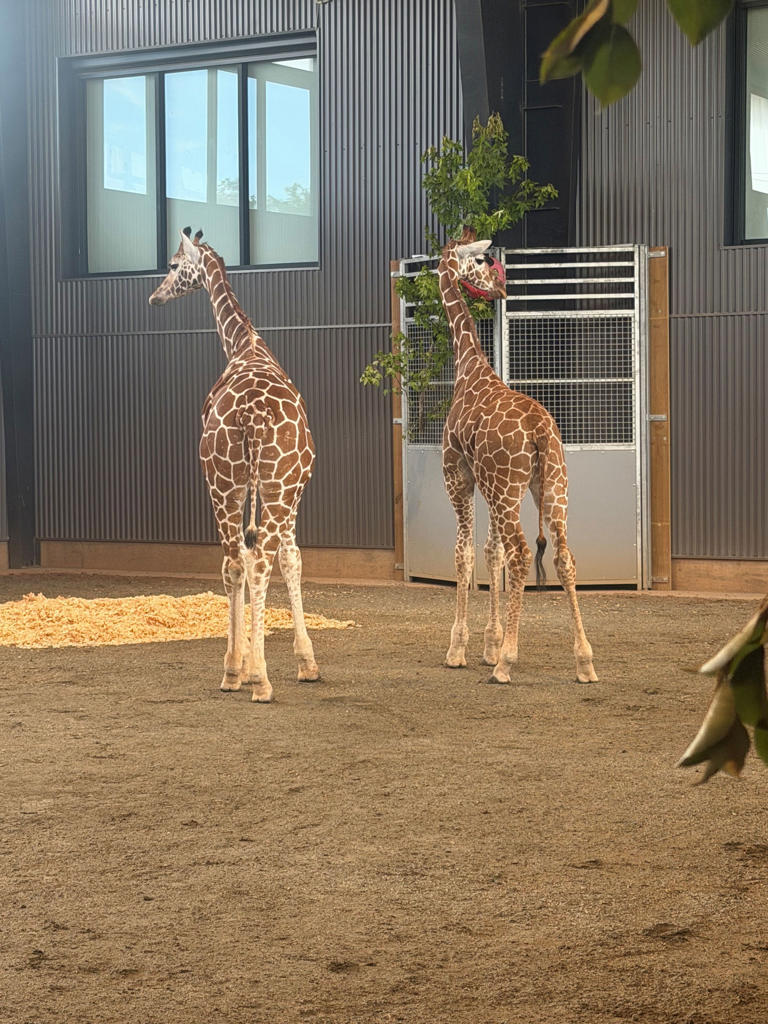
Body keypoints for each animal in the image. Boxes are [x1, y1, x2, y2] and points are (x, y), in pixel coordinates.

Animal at [148, 228, 319, 702]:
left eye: (173, 264)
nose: (155, 296)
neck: (245, 344)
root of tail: (251, 416)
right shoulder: (288, 490)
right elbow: (291, 559)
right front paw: (304, 662)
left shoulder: (273, 490)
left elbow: (283, 559)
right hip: (263, 485)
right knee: (253, 561)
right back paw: (256, 677)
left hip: (226, 483)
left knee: (236, 561)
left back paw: (235, 672)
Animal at [438, 227, 598, 684]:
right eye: (480, 261)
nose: (500, 288)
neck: (469, 367)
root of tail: (540, 431)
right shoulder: (487, 484)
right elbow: (491, 553)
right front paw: (488, 644)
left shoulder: (458, 476)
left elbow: (465, 553)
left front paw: (461, 649)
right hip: (551, 485)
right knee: (564, 556)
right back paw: (584, 661)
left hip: (510, 488)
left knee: (524, 553)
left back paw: (507, 662)